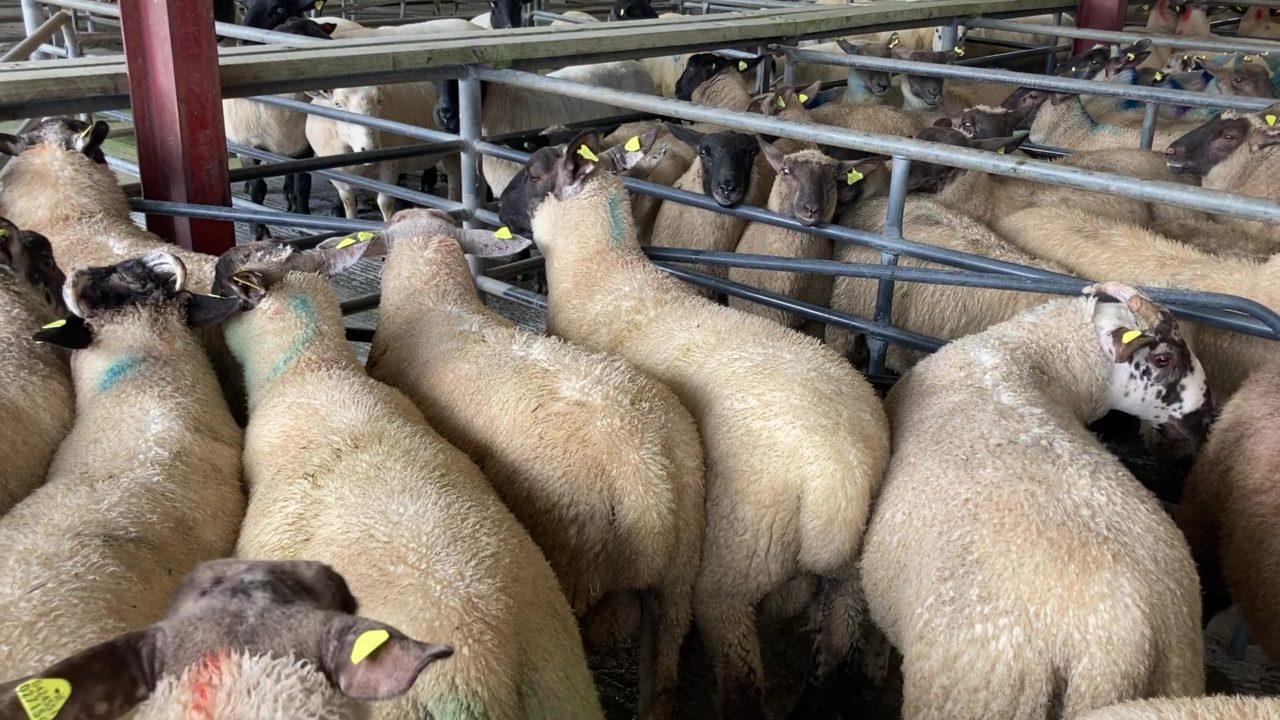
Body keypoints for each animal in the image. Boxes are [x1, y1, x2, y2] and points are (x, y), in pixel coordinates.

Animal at [500, 132, 891, 720]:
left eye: (531, 174)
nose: (499, 208)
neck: (601, 272)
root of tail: (843, 475)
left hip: (737, 558)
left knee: (739, 678)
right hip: (848, 585)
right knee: (830, 660)